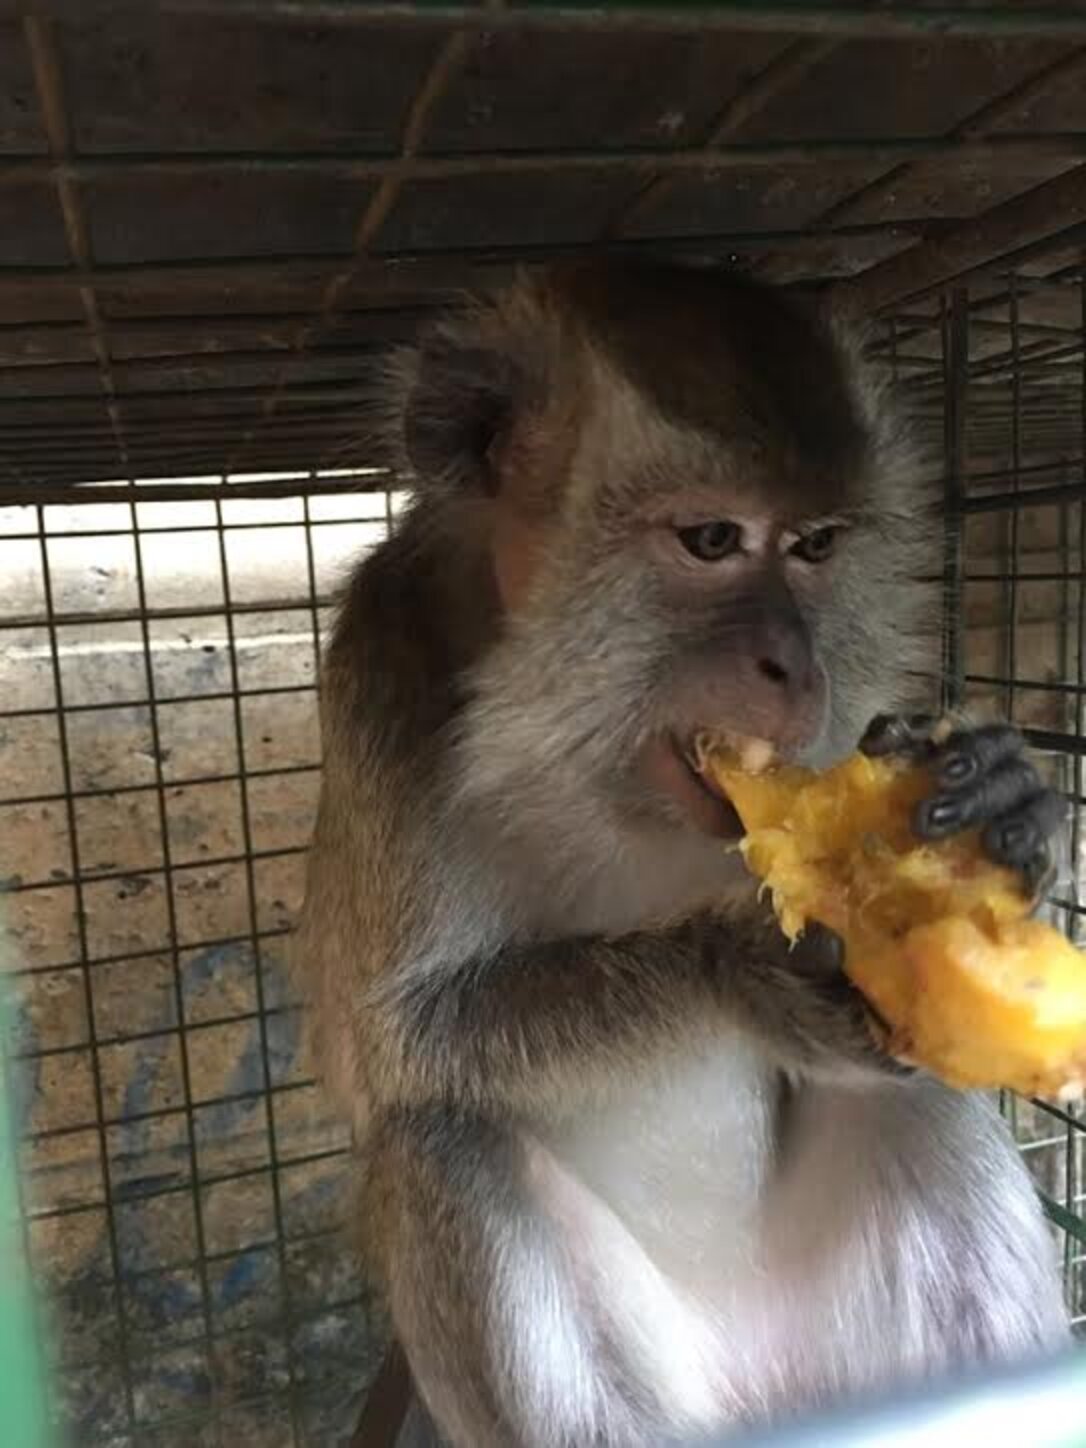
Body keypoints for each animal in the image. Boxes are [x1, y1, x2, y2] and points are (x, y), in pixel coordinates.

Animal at [292, 262, 1070, 1448]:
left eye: (814, 546)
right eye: (711, 540)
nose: (794, 668)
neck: (580, 754)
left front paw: (1006, 799)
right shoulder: (381, 686)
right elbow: (391, 1047)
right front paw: (741, 968)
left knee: (921, 1090)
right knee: (445, 1147)